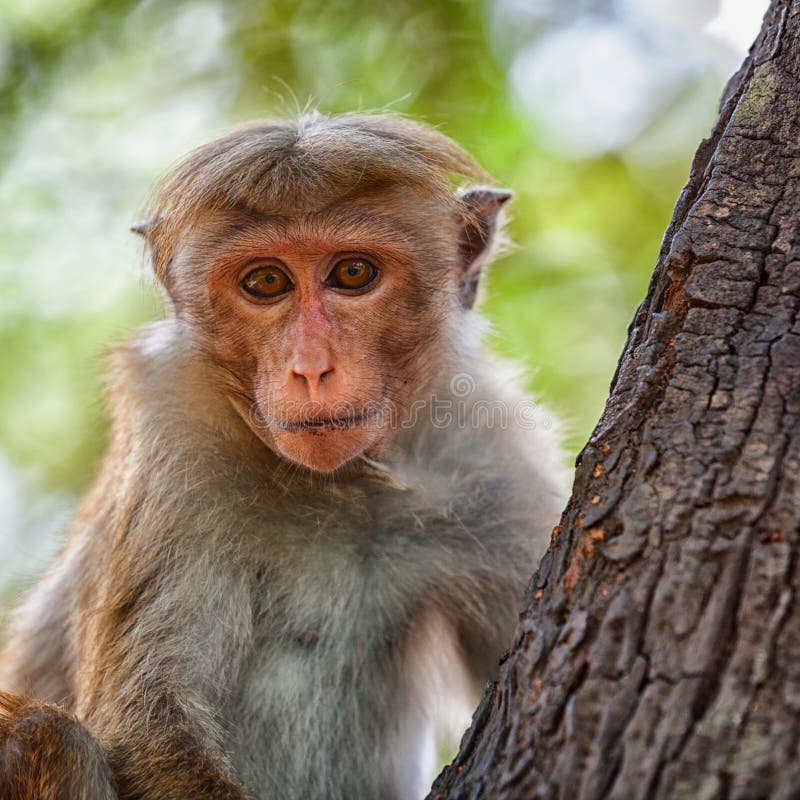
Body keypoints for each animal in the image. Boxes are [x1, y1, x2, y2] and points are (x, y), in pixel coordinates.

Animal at [0, 112, 568, 800]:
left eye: (353, 274)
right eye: (266, 282)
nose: (311, 368)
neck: (345, 485)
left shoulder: (490, 456)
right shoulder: (173, 431)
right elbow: (144, 723)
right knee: (50, 735)